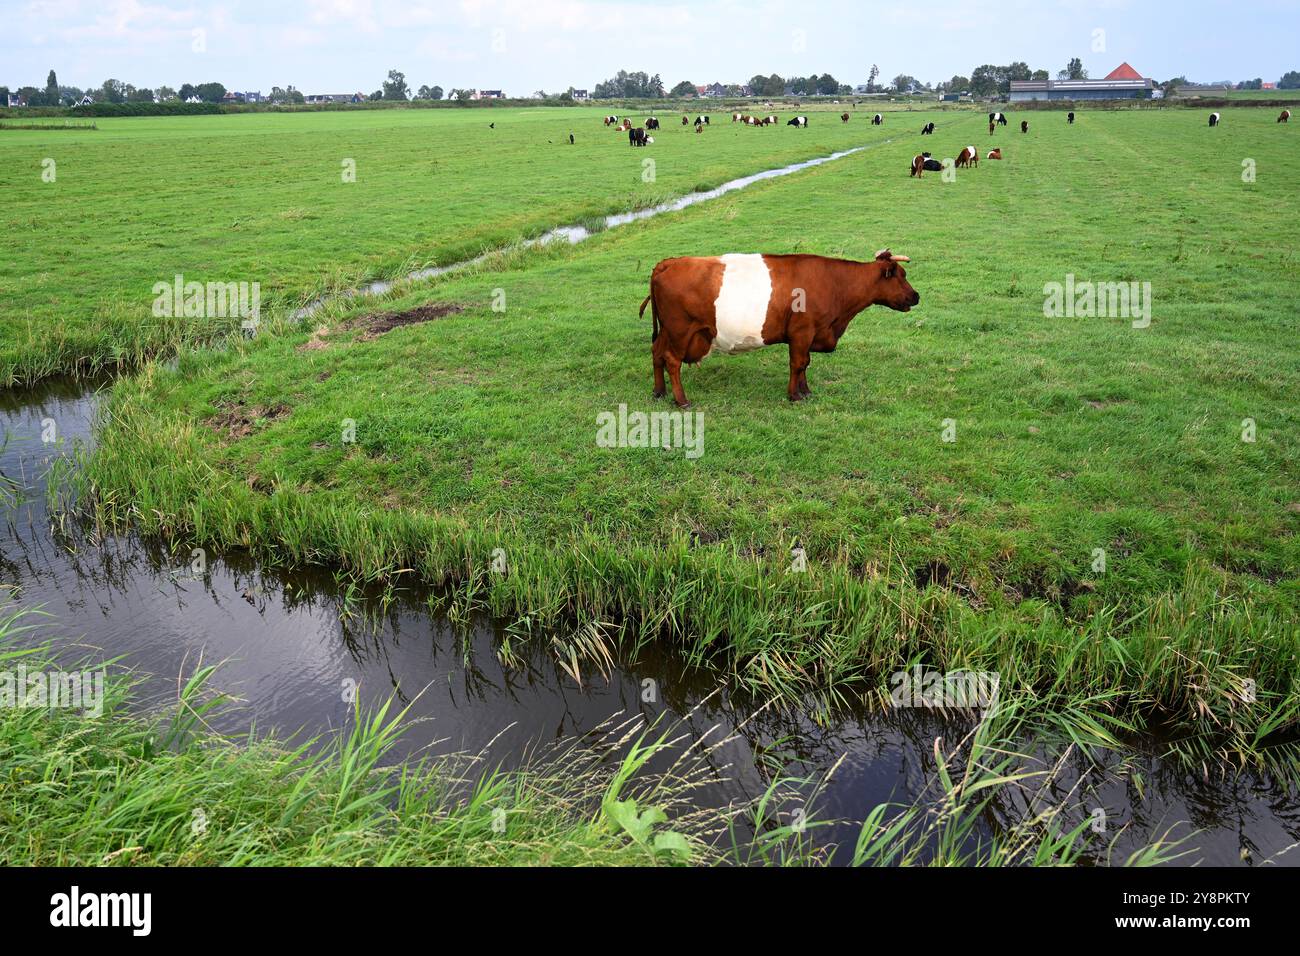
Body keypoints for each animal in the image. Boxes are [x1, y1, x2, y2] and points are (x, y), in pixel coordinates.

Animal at [642, 250, 920, 406]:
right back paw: (681, 400)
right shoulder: (802, 332)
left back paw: (659, 392)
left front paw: (805, 391)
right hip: (680, 330)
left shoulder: (809, 335)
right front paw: (794, 396)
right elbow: (798, 363)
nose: (916, 296)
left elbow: (806, 363)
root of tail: (668, 263)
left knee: (657, 353)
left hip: (667, 331)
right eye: (901, 276)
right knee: (672, 360)